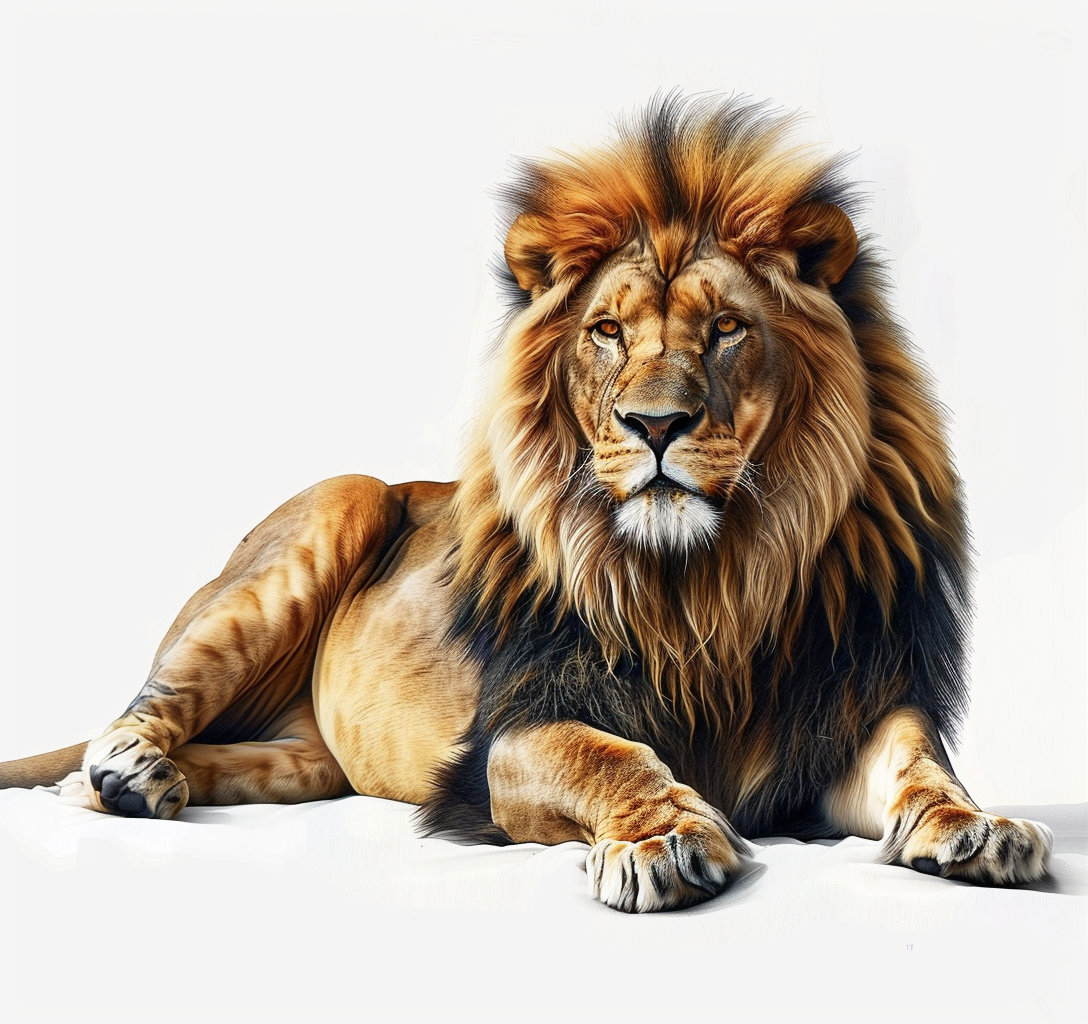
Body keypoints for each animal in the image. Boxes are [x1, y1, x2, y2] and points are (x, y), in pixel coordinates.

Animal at [0, 95, 1052, 911]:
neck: (709, 589)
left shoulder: (846, 709)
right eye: (606, 332)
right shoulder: (512, 731)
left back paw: (165, 785)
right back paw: (133, 768)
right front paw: (661, 841)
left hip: (305, 759)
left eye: (725, 328)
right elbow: (610, 757)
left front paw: (979, 826)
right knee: (127, 720)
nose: (656, 424)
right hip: (336, 507)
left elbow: (921, 762)